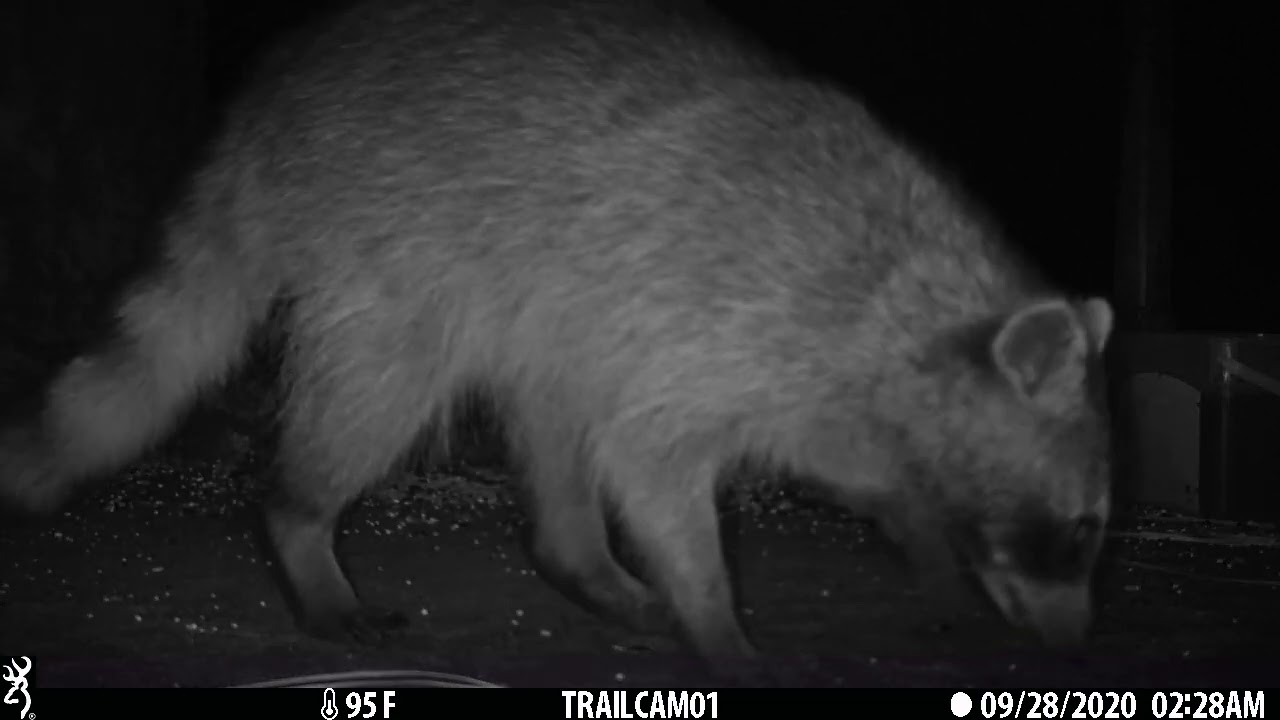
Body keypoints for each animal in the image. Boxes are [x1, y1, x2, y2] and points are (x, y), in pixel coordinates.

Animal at [0, 0, 1114, 663]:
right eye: (1082, 528)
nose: (1075, 644)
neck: (912, 303)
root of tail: (266, 104)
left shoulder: (812, 373)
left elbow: (840, 457)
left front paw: (913, 525)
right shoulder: (723, 319)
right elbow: (652, 461)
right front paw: (718, 622)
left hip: (543, 300)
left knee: (553, 415)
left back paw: (582, 561)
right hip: (396, 248)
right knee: (373, 400)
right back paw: (301, 521)